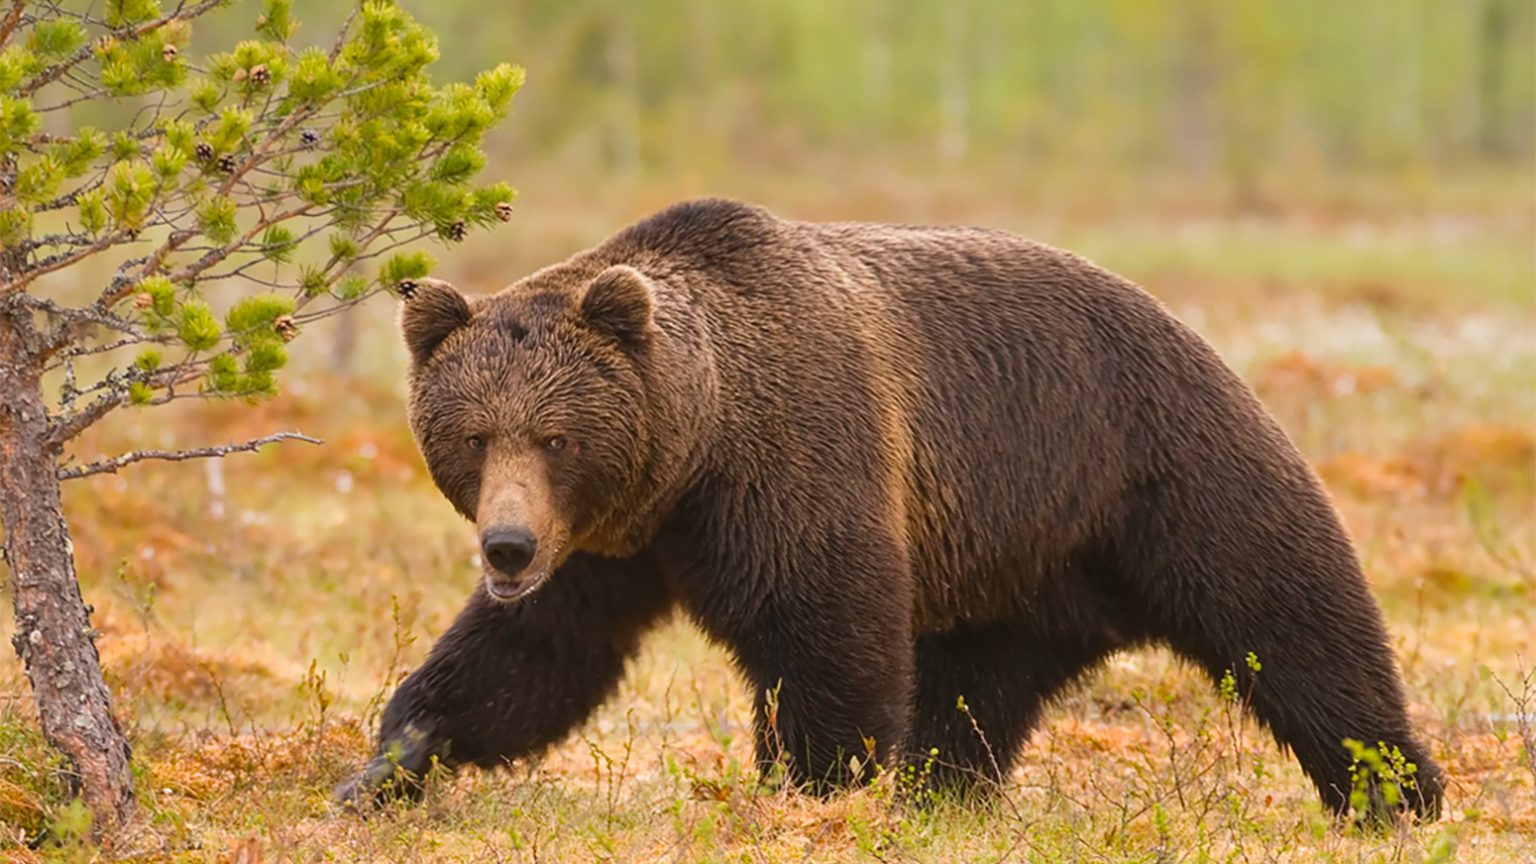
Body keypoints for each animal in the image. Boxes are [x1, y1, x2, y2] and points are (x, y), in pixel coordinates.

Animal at [336, 198, 1442, 821]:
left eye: (557, 437)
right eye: (472, 437)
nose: (508, 547)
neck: (697, 448)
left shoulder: (793, 461)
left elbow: (823, 629)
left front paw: (813, 787)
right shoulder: (615, 544)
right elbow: (532, 659)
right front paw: (387, 765)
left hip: (1155, 463)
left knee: (1288, 613)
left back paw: (1395, 787)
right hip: (1013, 563)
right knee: (975, 688)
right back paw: (941, 793)